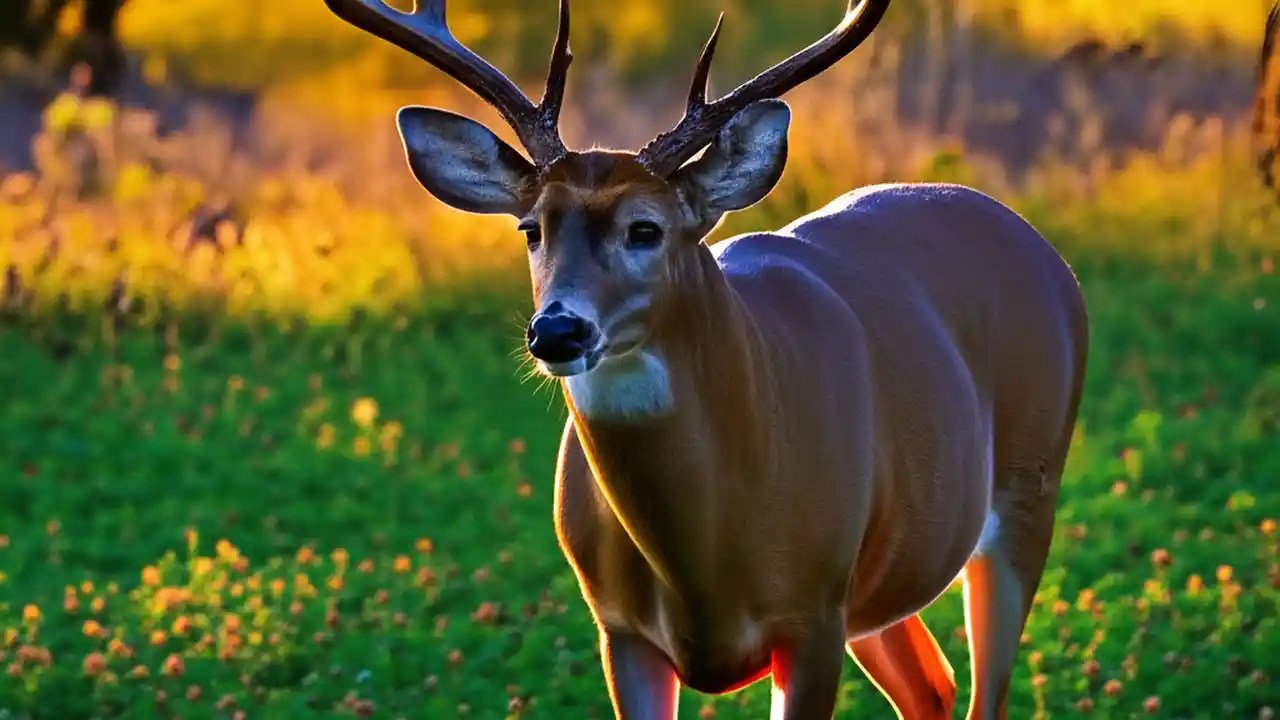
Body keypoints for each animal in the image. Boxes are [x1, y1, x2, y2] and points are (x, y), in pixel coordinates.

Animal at [323, 0, 1089, 717]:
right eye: (531, 229)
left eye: (646, 229)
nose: (558, 331)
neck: (705, 558)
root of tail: (1036, 244)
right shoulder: (619, 629)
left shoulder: (812, 613)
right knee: (931, 687)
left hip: (1029, 484)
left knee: (985, 691)